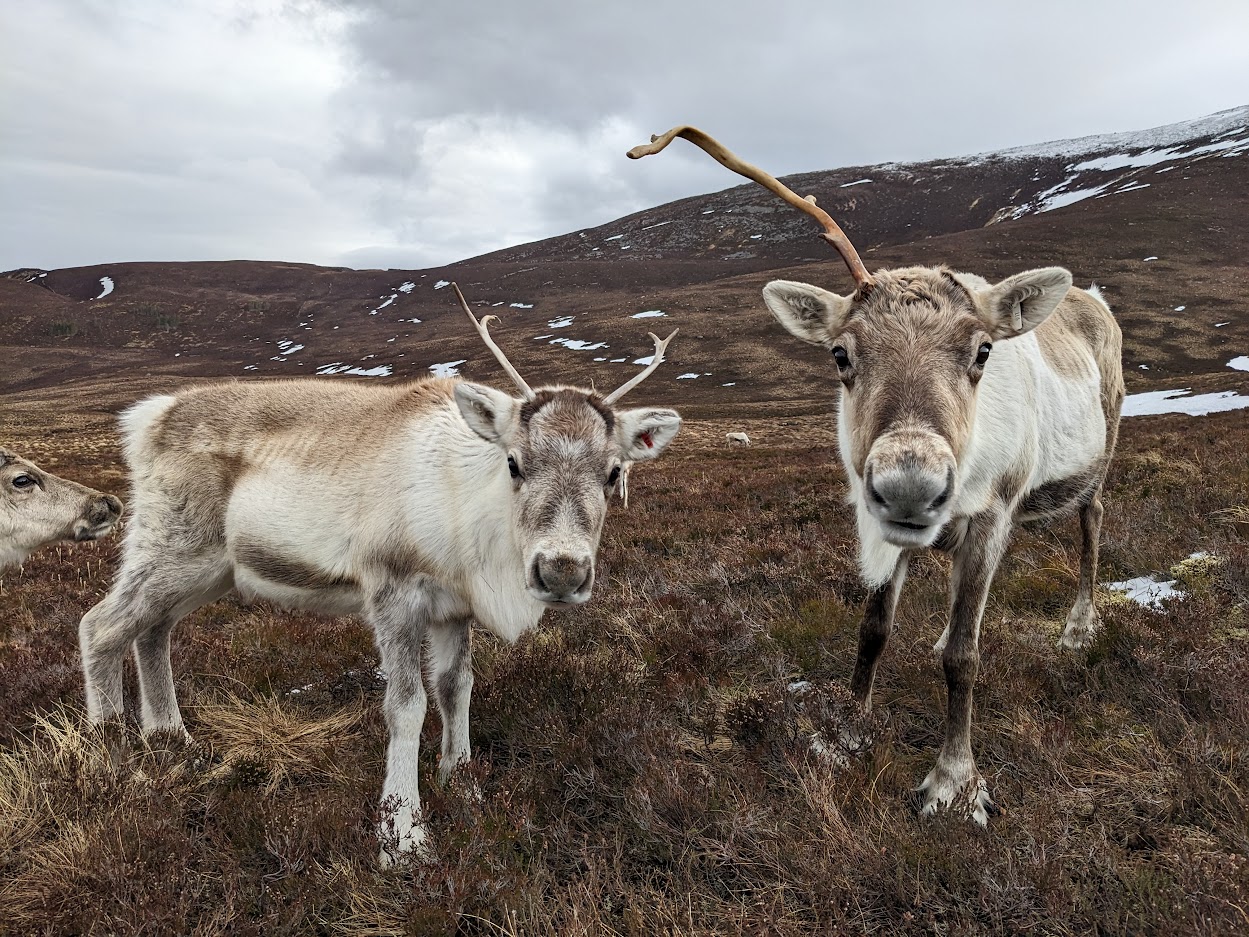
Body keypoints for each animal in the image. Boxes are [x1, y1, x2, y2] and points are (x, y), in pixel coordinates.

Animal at [78, 285, 682, 862]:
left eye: (613, 473)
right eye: (514, 462)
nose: (561, 572)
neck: (470, 506)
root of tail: (149, 420)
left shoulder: (454, 610)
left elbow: (456, 688)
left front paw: (462, 784)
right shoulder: (394, 593)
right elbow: (407, 706)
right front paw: (404, 833)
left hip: (208, 572)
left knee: (153, 630)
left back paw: (171, 737)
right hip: (171, 547)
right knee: (101, 625)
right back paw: (109, 752)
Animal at [630, 127, 1124, 824]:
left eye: (983, 351)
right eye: (840, 354)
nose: (911, 486)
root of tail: (1092, 298)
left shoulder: (990, 513)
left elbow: (965, 657)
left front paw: (954, 781)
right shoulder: (883, 528)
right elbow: (874, 628)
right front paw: (848, 731)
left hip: (1098, 458)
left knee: (1092, 520)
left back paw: (1080, 627)